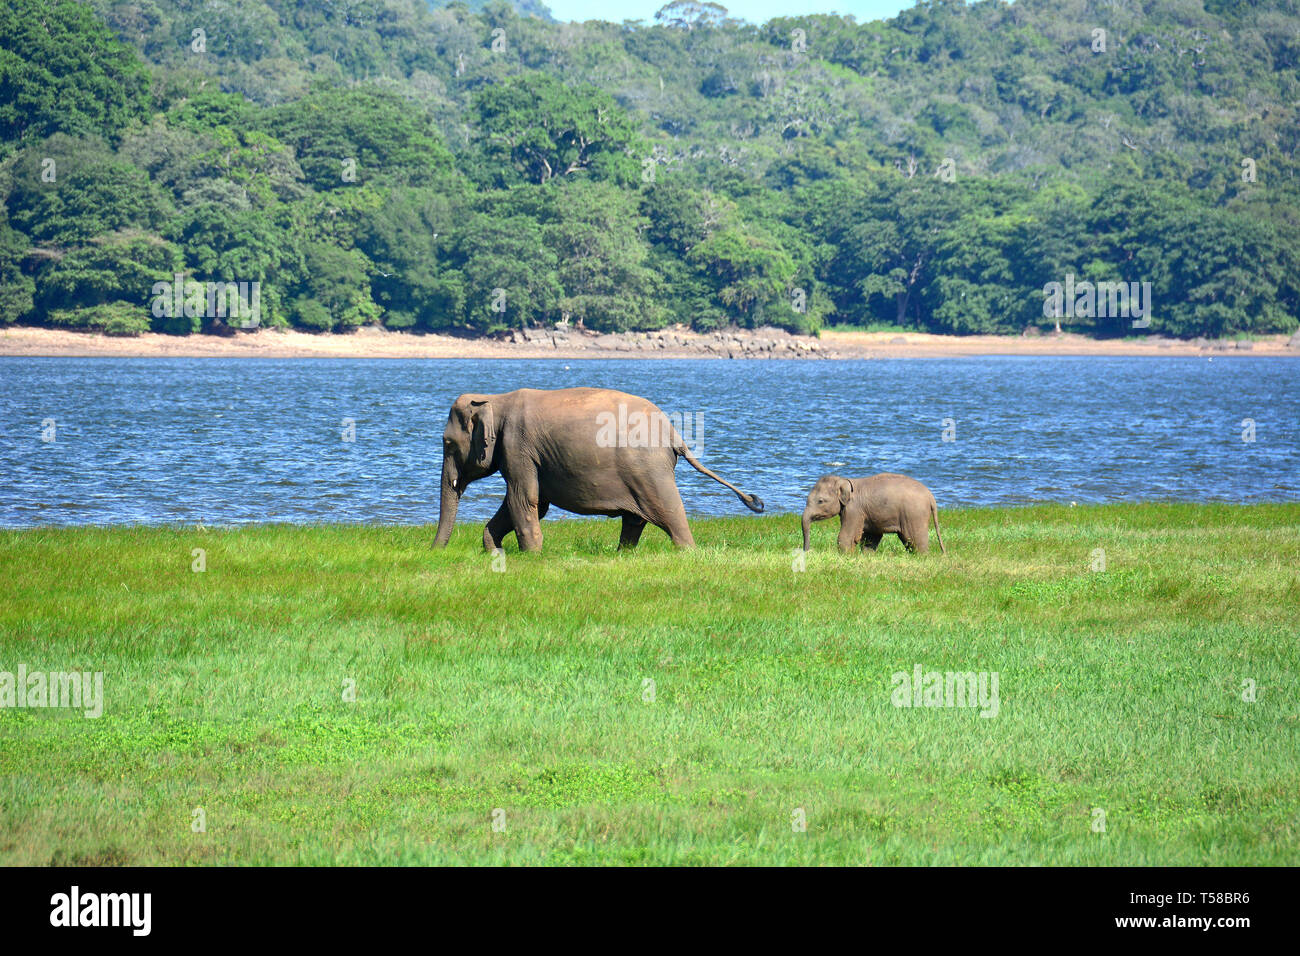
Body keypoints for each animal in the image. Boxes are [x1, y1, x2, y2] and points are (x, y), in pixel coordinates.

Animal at [432, 387, 764, 552]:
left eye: (447, 443)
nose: (436, 552)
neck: (496, 399)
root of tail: (674, 433)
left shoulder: (517, 446)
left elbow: (523, 500)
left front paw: (533, 558)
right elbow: (532, 503)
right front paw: (495, 552)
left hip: (649, 471)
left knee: (670, 512)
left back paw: (688, 553)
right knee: (635, 519)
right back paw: (623, 556)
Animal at [801, 472, 946, 554]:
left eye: (820, 501)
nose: (807, 552)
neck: (844, 480)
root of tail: (931, 497)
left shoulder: (854, 510)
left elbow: (847, 536)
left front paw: (845, 556)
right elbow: (870, 538)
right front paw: (866, 556)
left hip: (914, 514)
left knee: (914, 538)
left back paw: (922, 557)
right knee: (908, 541)